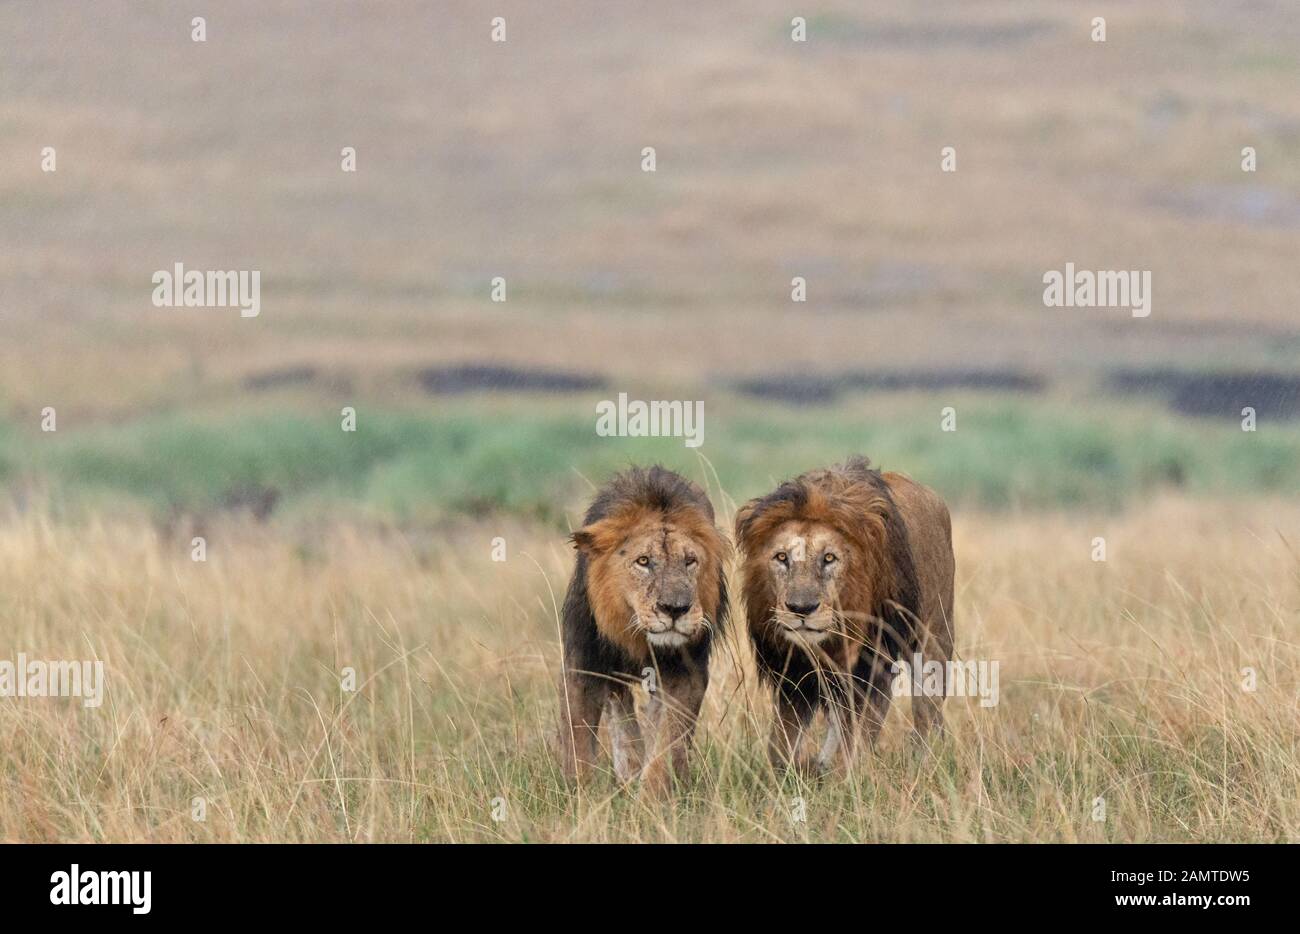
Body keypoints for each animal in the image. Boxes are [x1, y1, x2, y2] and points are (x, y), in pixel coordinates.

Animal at [558, 465, 729, 796]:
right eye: (643, 561)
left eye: (690, 561)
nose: (675, 609)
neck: (635, 635)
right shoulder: (584, 664)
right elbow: (578, 742)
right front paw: (579, 796)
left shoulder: (686, 673)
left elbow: (667, 741)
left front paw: (651, 797)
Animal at [735, 456, 954, 774]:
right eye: (781, 558)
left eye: (829, 558)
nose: (801, 608)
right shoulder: (792, 674)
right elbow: (782, 741)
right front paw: (788, 774)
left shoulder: (871, 660)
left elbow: (861, 728)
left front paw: (849, 774)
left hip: (934, 637)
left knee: (927, 710)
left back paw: (924, 763)